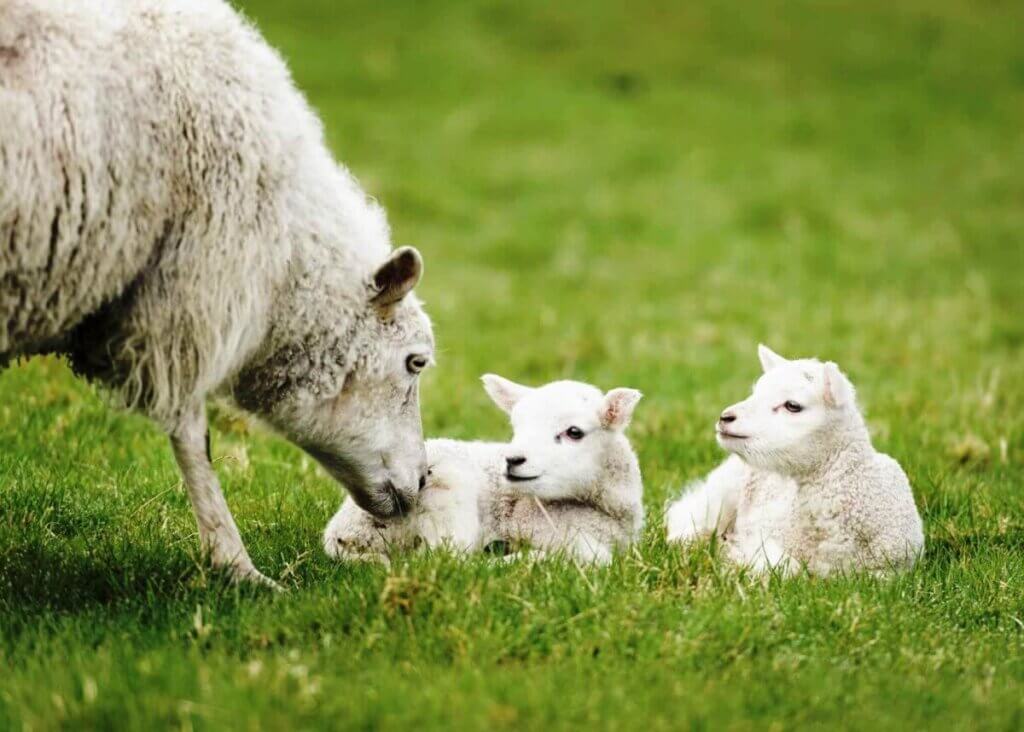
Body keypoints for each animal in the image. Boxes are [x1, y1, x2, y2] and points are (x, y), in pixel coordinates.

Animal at [0, 0, 435, 586]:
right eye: (416, 362)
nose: (424, 479)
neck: (282, 253)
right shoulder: (187, 293)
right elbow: (192, 435)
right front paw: (237, 566)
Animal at [324, 376, 645, 565]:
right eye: (516, 427)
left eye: (574, 432)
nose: (512, 460)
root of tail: (339, 534)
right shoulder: (543, 527)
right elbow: (596, 556)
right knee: (447, 561)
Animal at [666, 345, 924, 577]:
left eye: (793, 405)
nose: (725, 417)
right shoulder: (766, 533)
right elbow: (787, 568)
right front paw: (729, 552)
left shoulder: (892, 569)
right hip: (721, 492)